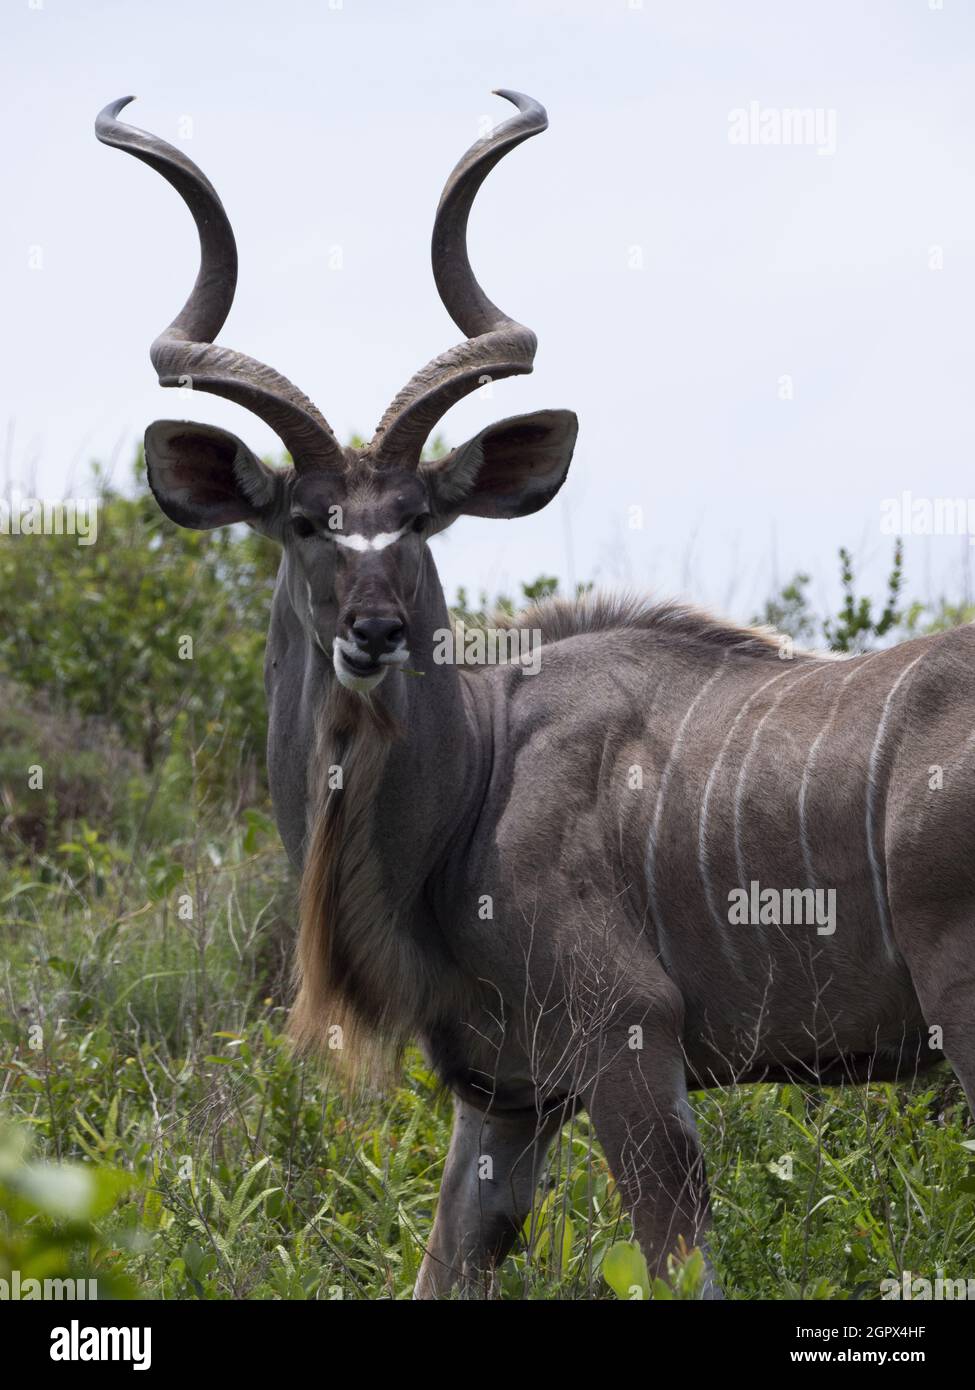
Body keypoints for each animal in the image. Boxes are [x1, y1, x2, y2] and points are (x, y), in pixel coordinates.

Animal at [97, 91, 974, 1300]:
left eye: (419, 519)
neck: (479, 781)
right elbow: (446, 1264)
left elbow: (679, 1265)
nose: (376, 630)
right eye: (309, 520)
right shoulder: (506, 1098)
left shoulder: (630, 1044)